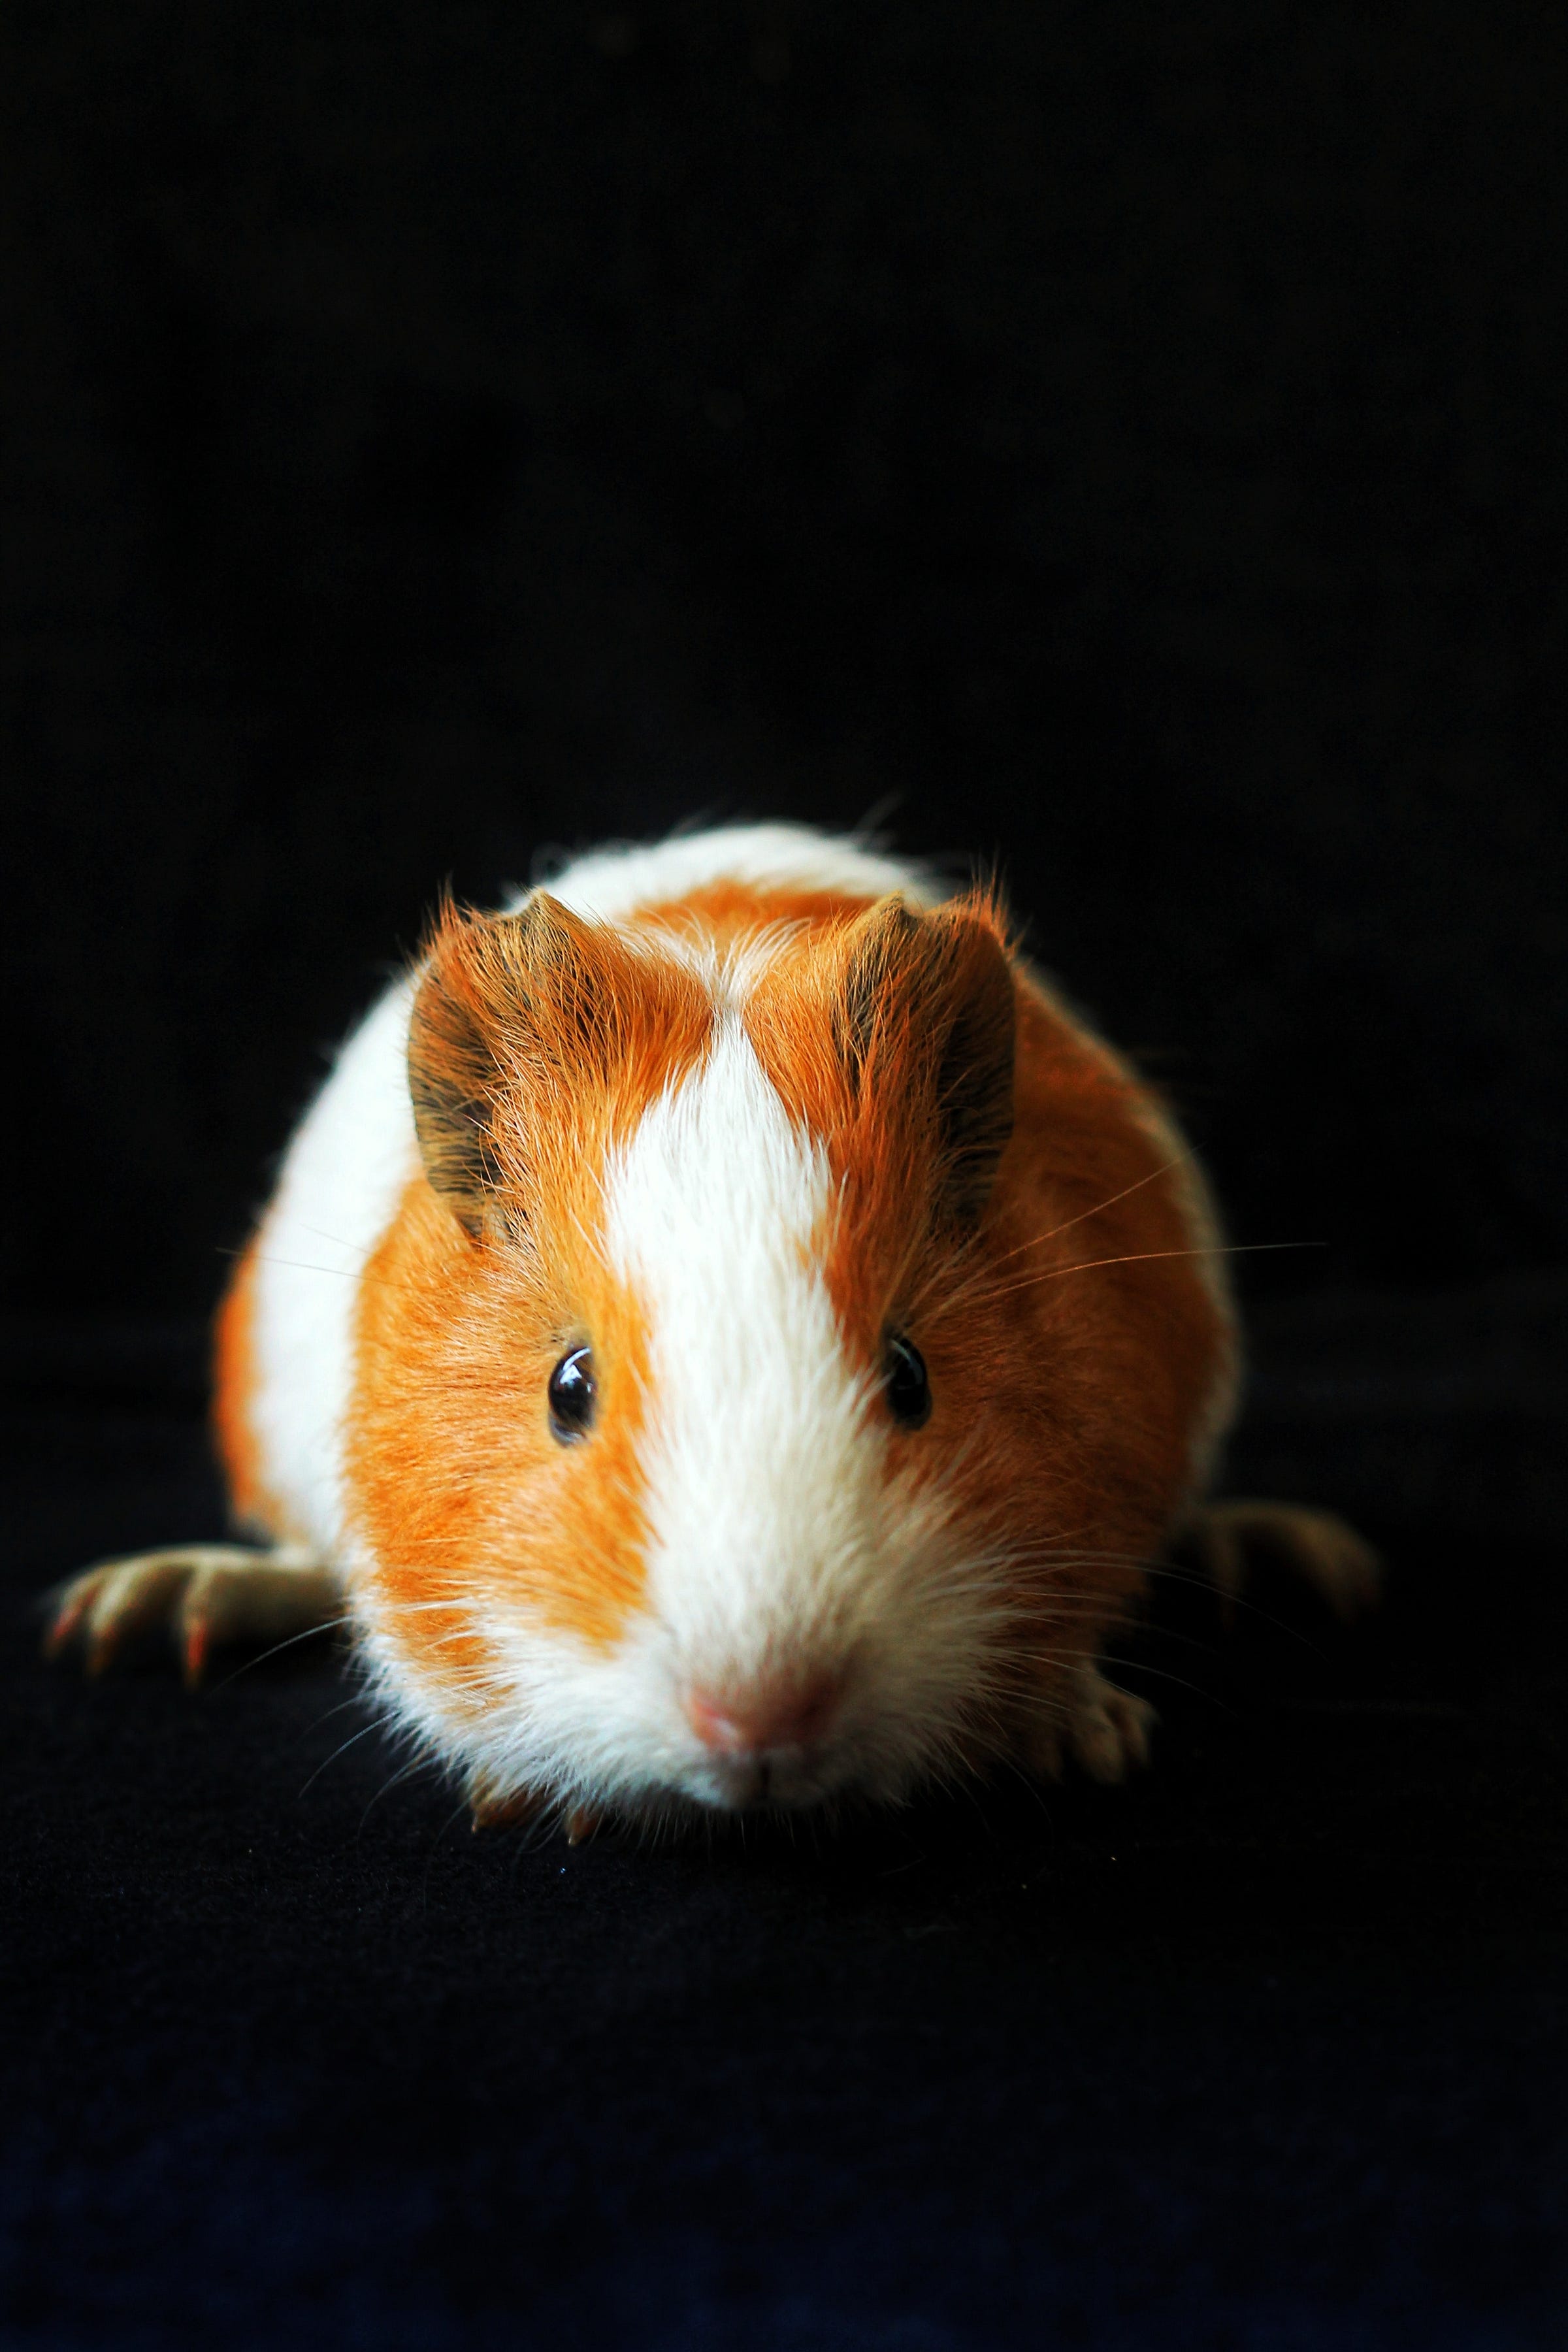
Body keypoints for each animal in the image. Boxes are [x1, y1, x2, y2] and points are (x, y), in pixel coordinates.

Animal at [47, 824, 1378, 1837]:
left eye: (911, 1377)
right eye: (569, 1388)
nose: (764, 1715)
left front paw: (1091, 1739)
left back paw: (1289, 1557)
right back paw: (145, 1609)